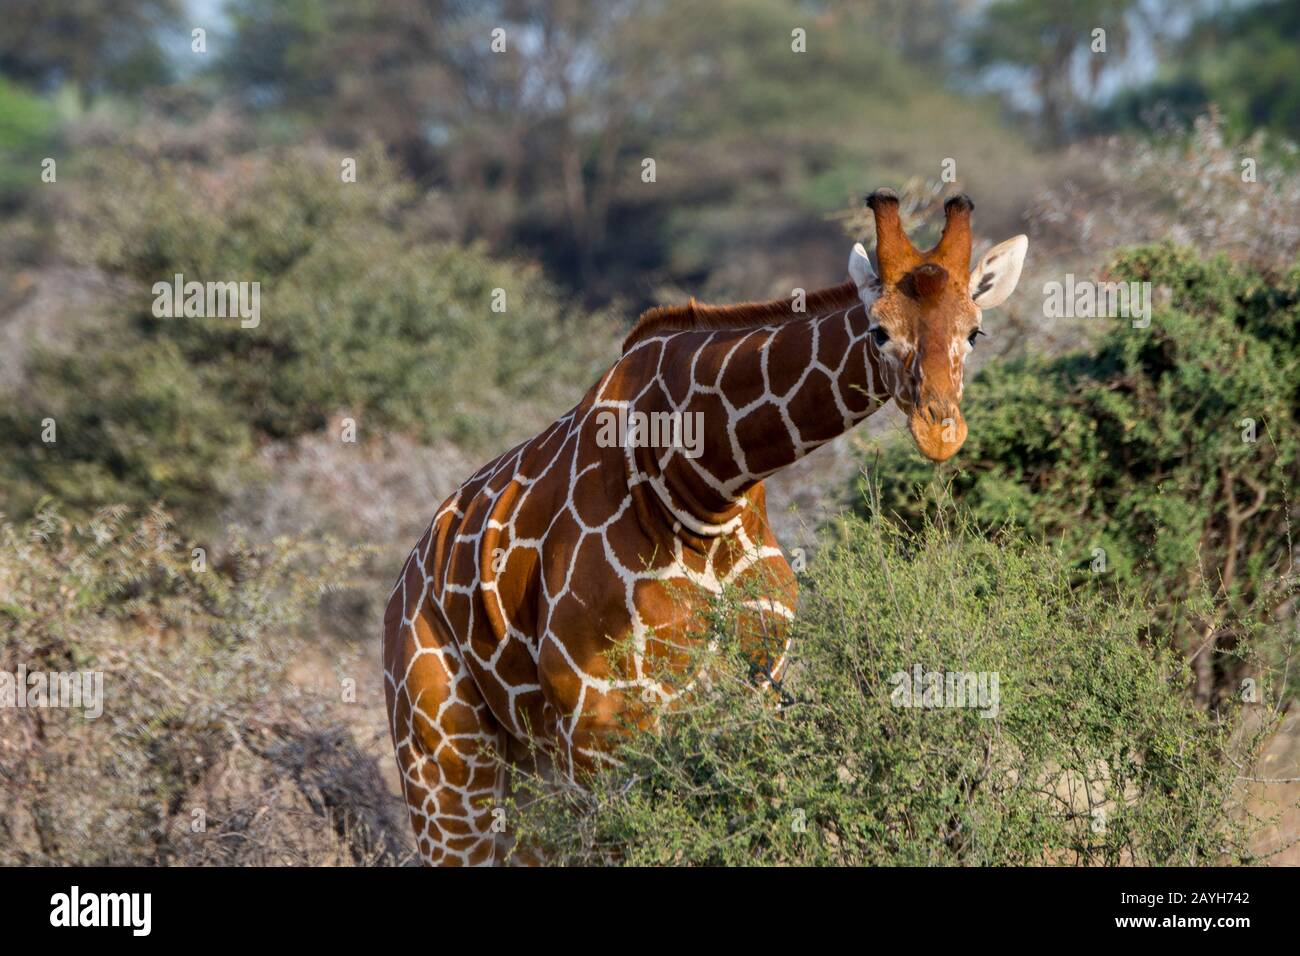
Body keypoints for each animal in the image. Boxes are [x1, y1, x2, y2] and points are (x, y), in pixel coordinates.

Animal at [382, 189, 1028, 865]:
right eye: (878, 331)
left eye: (974, 331)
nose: (939, 430)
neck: (704, 488)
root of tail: (406, 581)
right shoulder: (597, 716)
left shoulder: (753, 692)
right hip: (445, 761)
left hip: (528, 769)